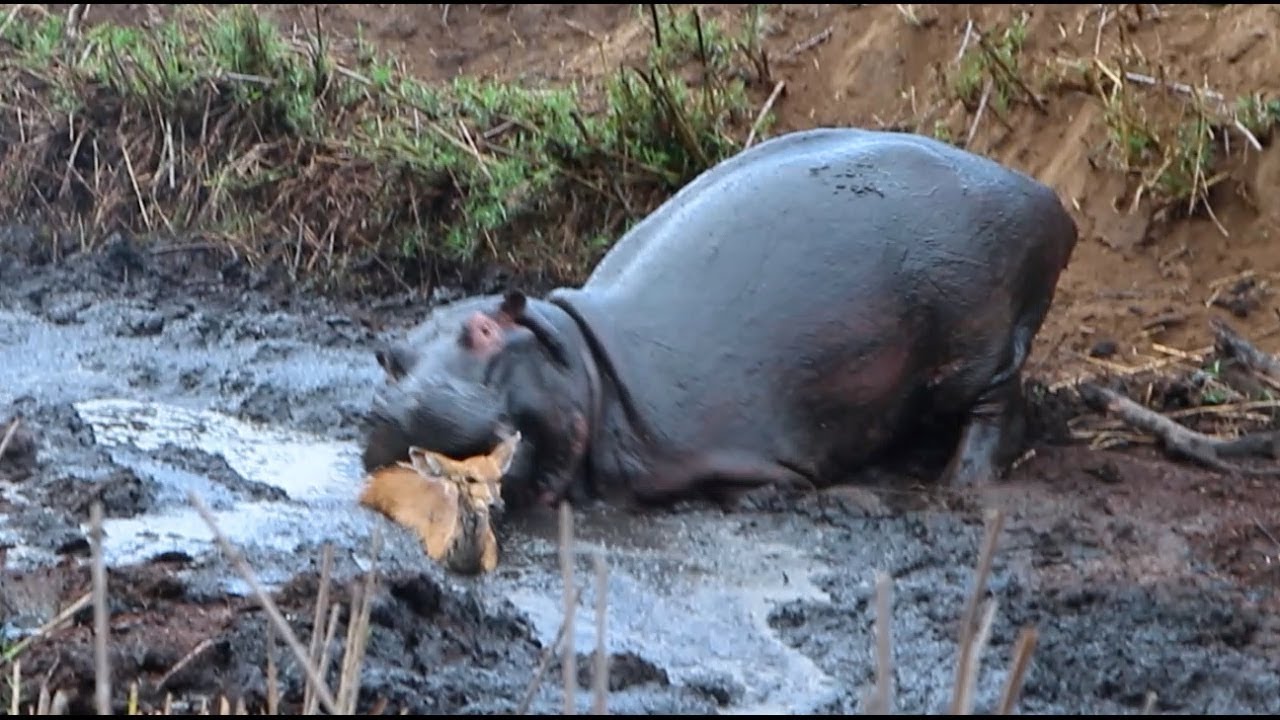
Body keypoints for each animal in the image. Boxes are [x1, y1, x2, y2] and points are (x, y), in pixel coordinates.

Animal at [360, 127, 1079, 510]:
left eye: (485, 331)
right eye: (388, 356)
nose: (396, 408)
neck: (586, 363)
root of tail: (1044, 198)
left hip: (975, 337)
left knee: (996, 403)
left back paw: (960, 481)